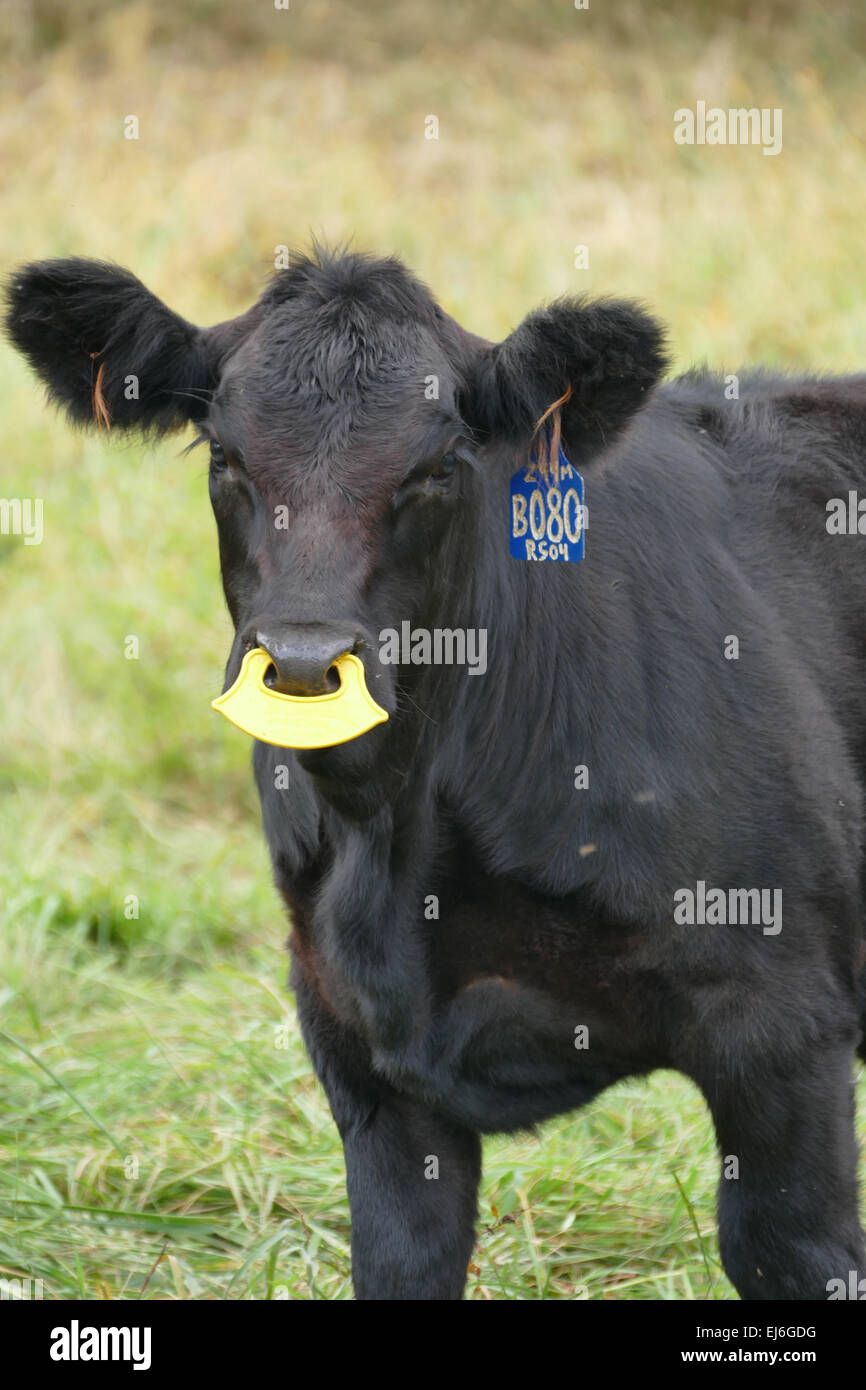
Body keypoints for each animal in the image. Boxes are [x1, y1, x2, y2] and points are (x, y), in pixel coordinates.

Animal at [6, 247, 866, 1301]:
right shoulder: (359, 1049)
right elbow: (402, 1259)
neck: (394, 832)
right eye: (224, 458)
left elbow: (790, 1247)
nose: (303, 663)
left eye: (437, 466)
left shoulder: (783, 1021)